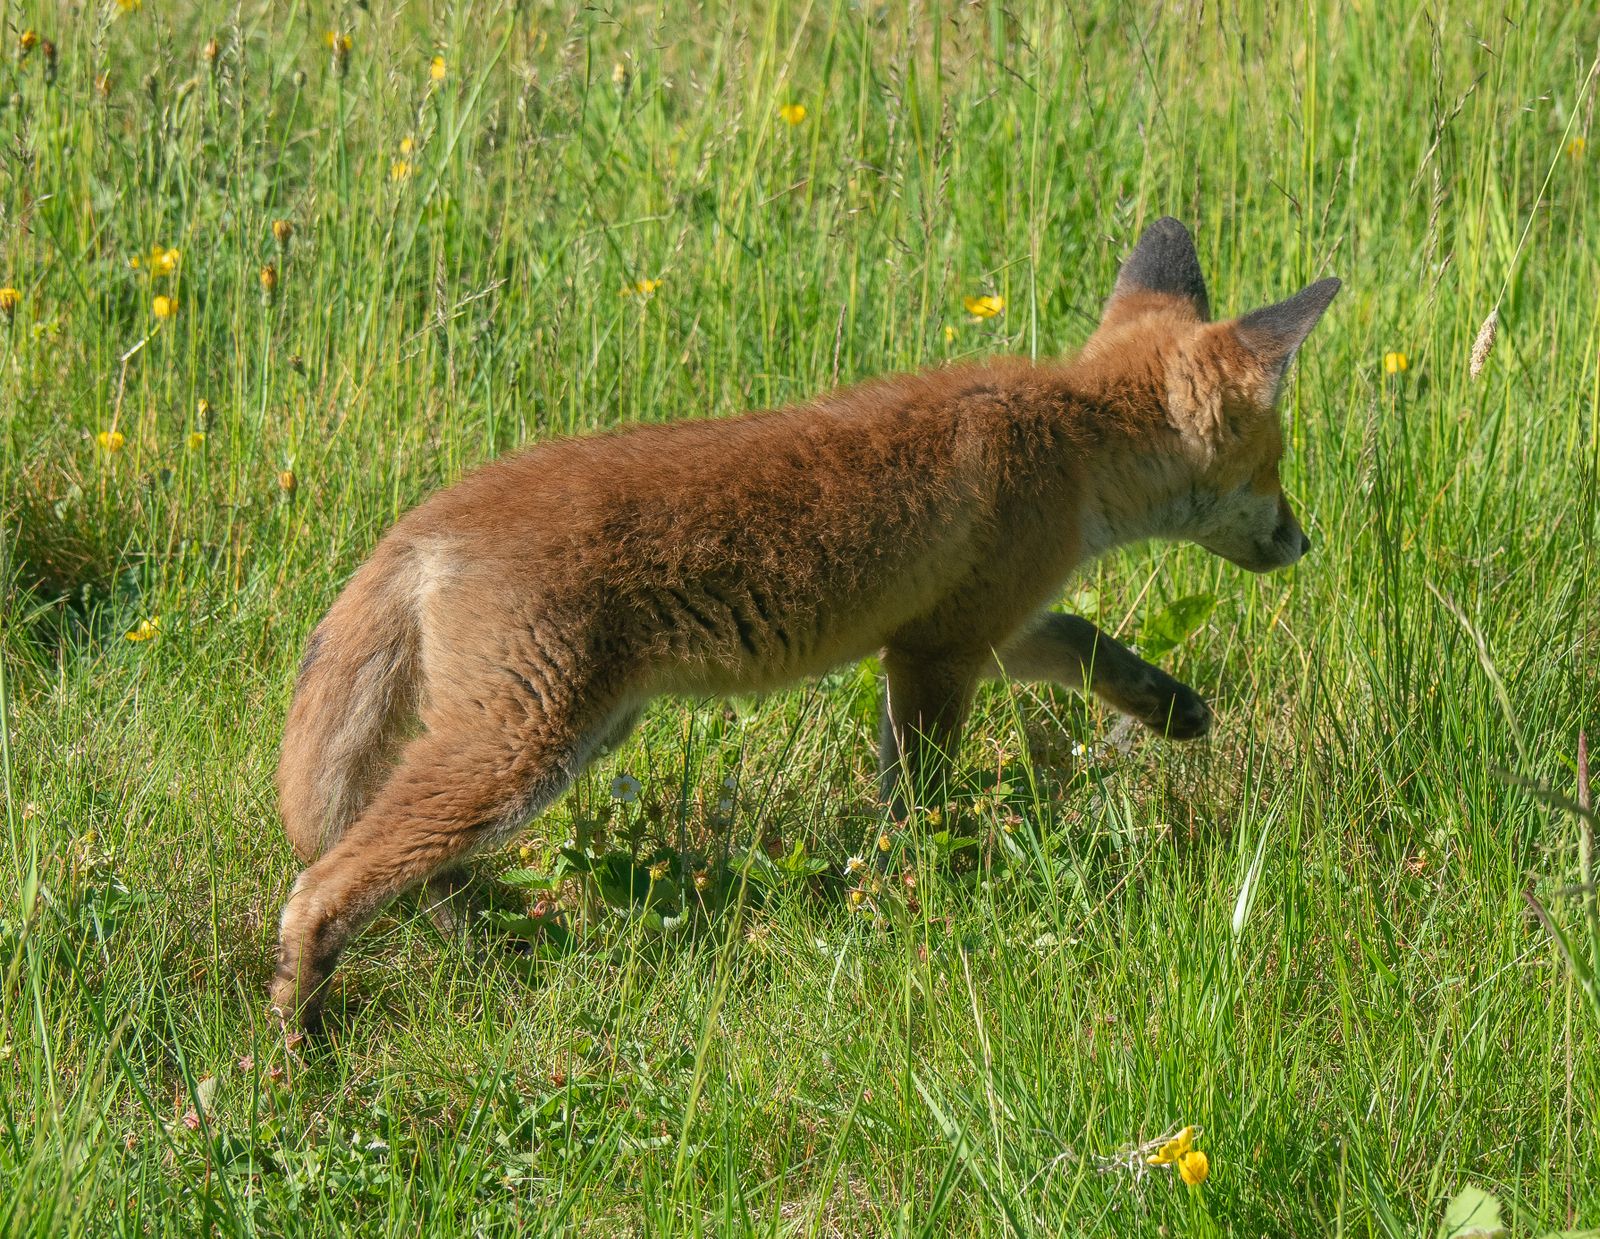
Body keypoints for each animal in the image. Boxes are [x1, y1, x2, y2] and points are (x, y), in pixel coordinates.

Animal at [271, 217, 1338, 1028]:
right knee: (322, 884)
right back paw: (301, 1035)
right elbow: (918, 803)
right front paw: (922, 894)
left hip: (563, 739)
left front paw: (1170, 707)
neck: (1073, 437)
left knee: (390, 860)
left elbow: (1085, 641)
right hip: (524, 751)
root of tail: (427, 519)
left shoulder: (978, 624)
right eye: (1275, 468)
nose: (1305, 540)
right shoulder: (935, 652)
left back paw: (476, 946)